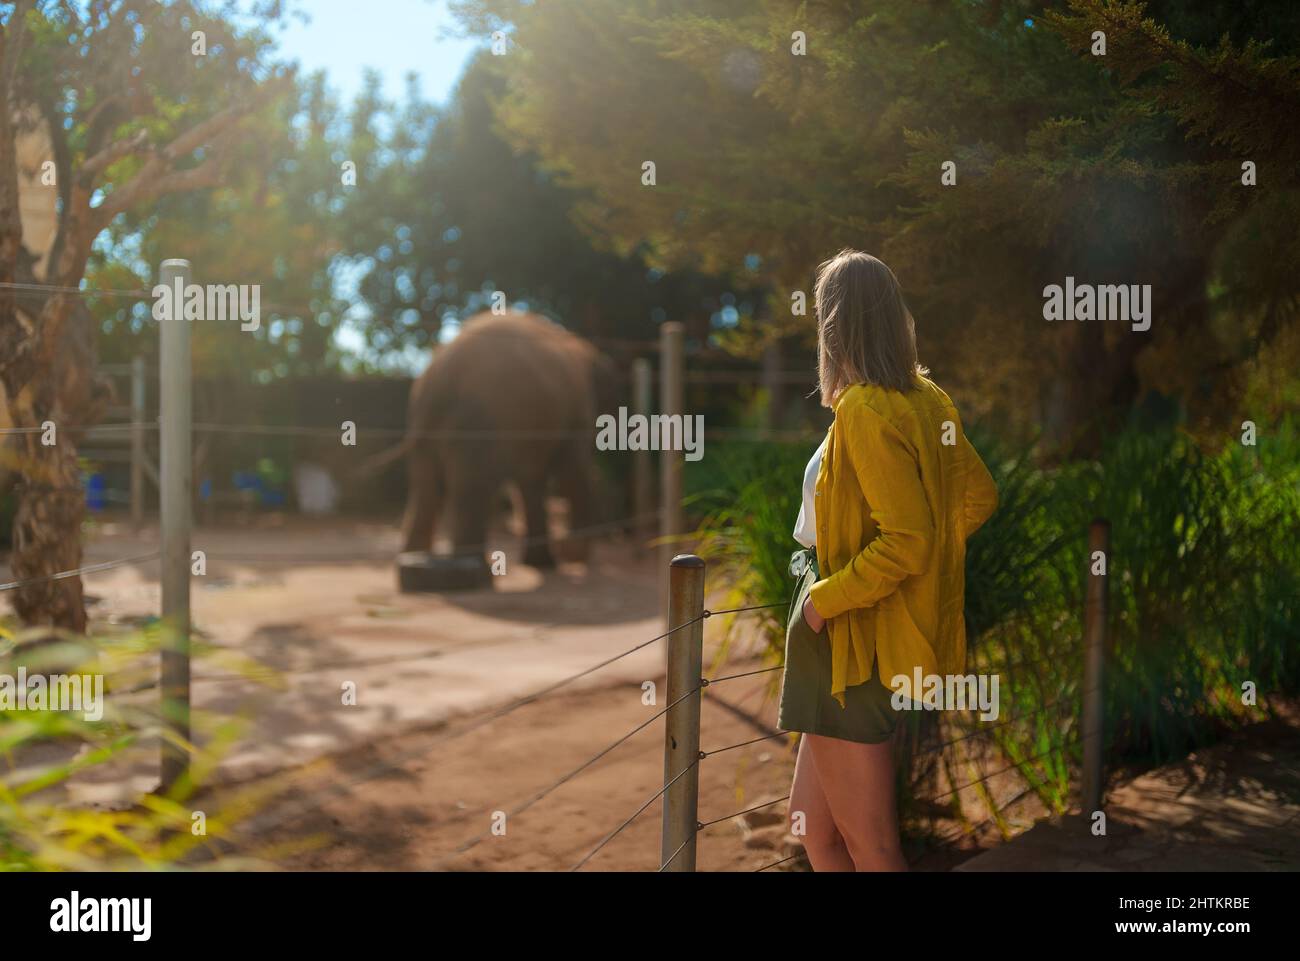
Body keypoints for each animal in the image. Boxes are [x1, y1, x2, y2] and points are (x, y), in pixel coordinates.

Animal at [399, 311, 620, 571]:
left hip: (427, 426)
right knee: (470, 486)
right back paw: (473, 565)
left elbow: (532, 479)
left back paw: (416, 556)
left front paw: (542, 563)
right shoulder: (576, 407)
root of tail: (440, 377)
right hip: (482, 420)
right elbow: (571, 470)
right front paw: (569, 555)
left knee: (426, 487)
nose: (564, 545)